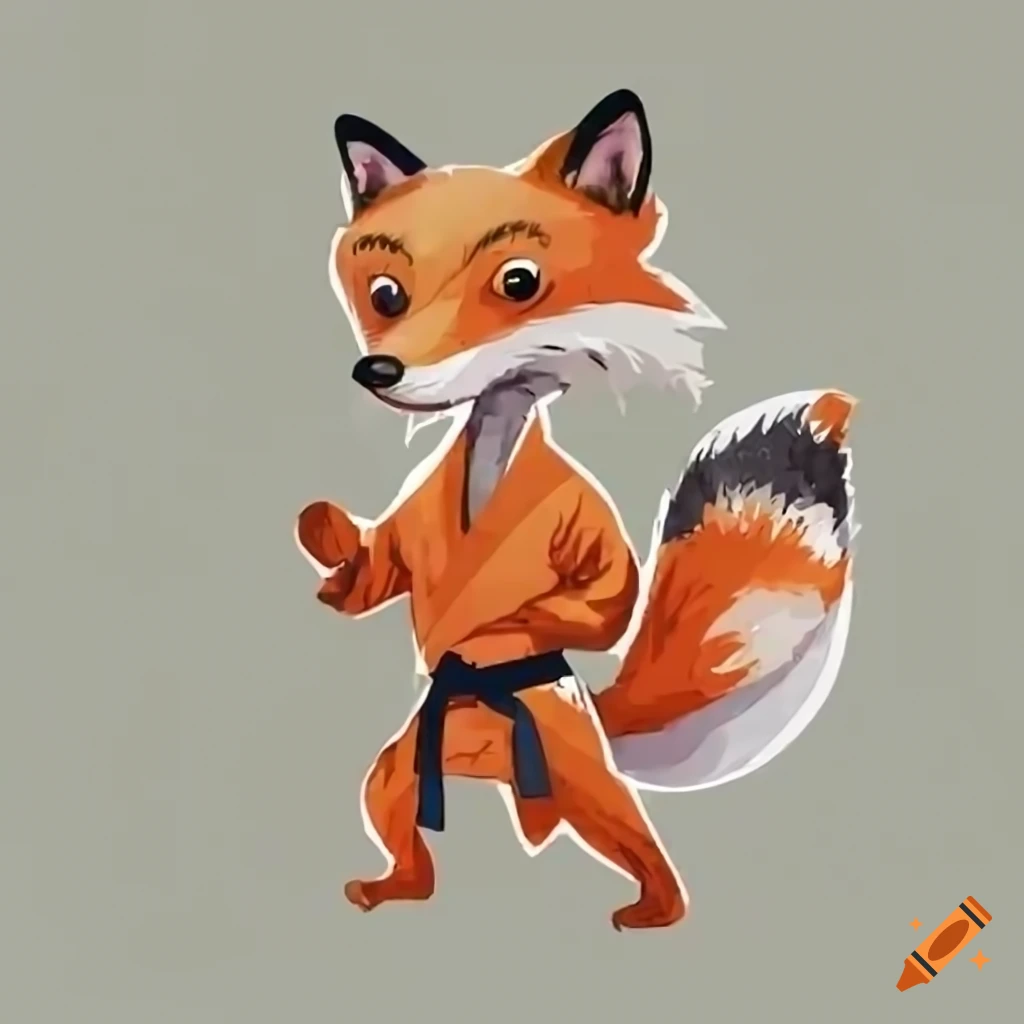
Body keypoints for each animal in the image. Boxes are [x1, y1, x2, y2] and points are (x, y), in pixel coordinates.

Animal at [295, 88, 857, 931]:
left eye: (519, 282)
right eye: (386, 294)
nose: (379, 369)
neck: (492, 455)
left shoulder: (589, 534)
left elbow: (605, 601)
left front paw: (513, 621)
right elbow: (375, 572)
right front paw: (326, 536)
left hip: (584, 783)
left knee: (639, 838)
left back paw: (657, 909)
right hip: (403, 776)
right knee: (401, 820)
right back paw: (400, 885)